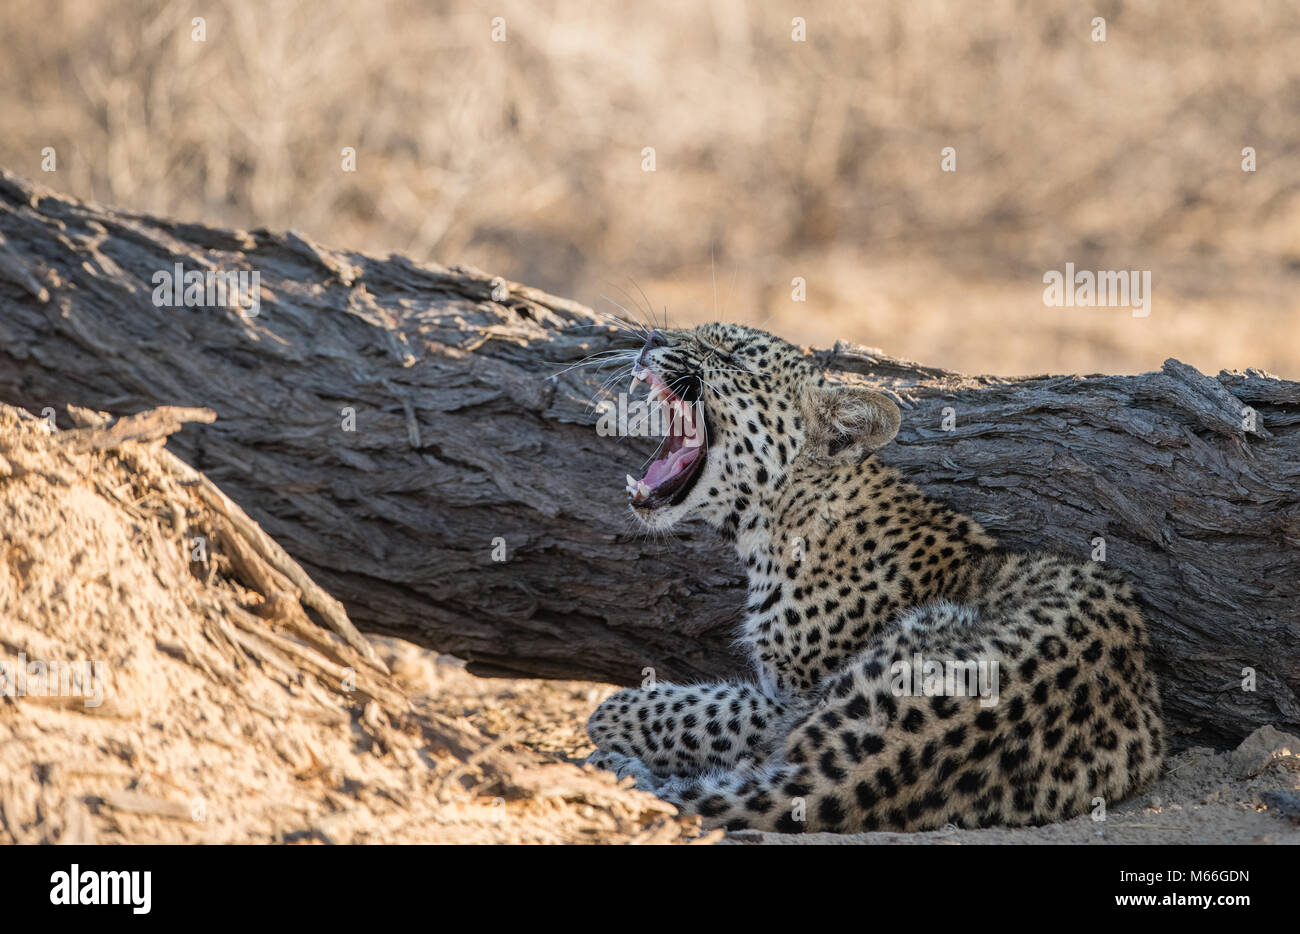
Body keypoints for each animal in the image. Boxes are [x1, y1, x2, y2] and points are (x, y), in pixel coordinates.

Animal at [584, 321, 1165, 833]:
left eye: (732, 356)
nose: (652, 338)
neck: (784, 520)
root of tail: (891, 759)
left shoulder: (789, 695)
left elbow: (706, 707)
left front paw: (612, 711)